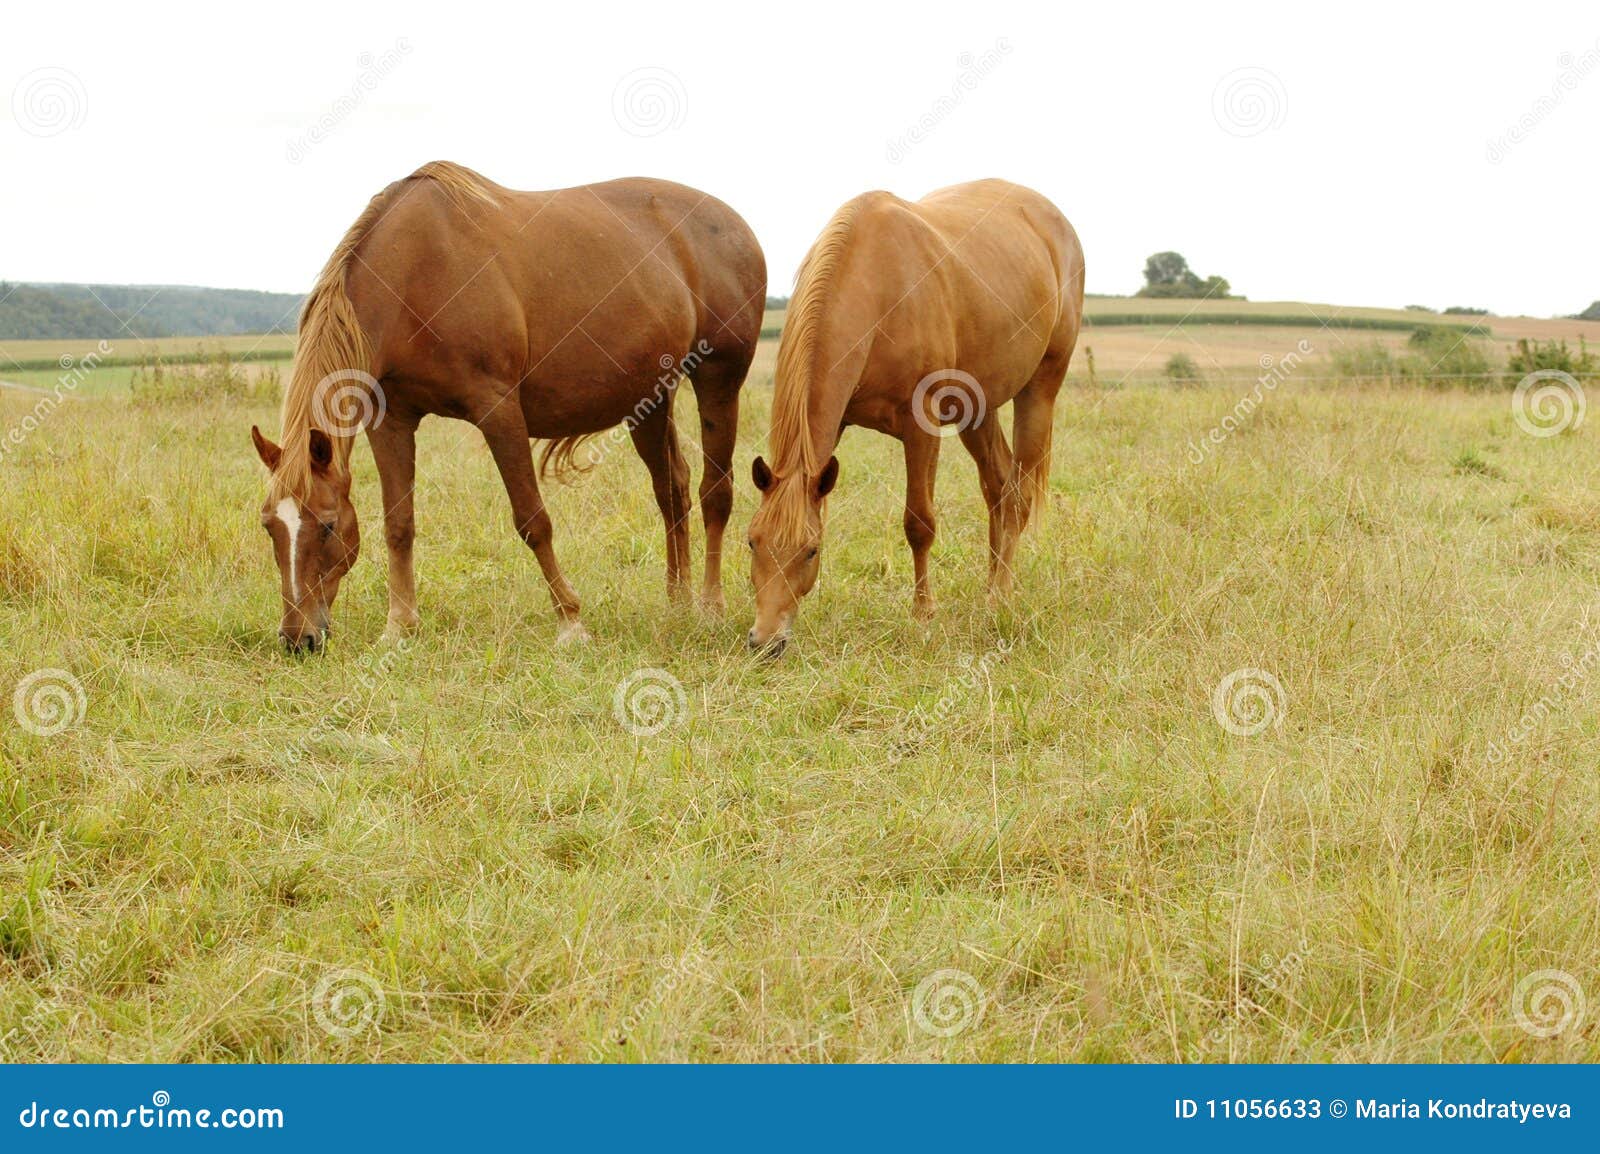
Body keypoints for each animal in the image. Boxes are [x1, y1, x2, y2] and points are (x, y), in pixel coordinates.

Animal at [250, 161, 766, 652]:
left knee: (715, 492)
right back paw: (677, 601)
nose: (298, 638)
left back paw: (709, 606)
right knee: (671, 490)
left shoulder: (498, 412)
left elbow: (533, 521)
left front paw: (570, 622)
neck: (415, 273)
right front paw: (399, 627)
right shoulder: (391, 421)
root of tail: (736, 224)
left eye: (327, 527)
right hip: (651, 399)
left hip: (719, 380)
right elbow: (399, 524)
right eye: (269, 527)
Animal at [745, 179, 1084, 656]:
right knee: (999, 489)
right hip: (977, 408)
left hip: (1039, 391)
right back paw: (989, 588)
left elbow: (919, 522)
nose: (765, 641)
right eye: (752, 542)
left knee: (1018, 499)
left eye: (810, 550)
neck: (877, 287)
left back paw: (999, 597)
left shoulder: (922, 429)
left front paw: (923, 614)